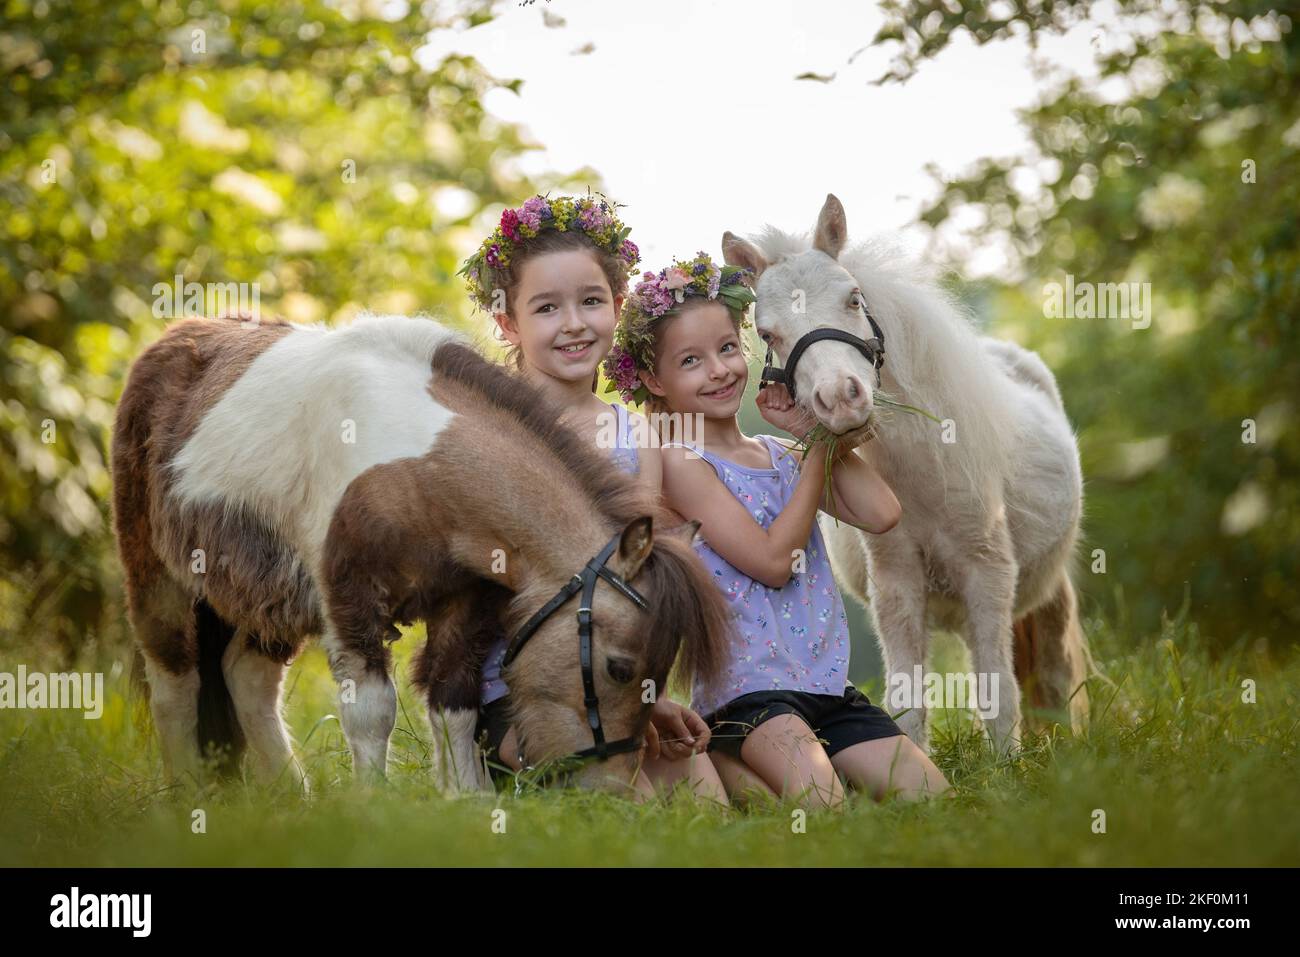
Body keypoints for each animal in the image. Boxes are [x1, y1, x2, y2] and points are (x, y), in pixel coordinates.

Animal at [111, 313, 730, 793]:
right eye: (619, 668)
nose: (610, 792)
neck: (412, 463)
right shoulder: (349, 600)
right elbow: (370, 713)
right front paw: (374, 809)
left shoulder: (466, 601)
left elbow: (453, 701)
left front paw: (468, 802)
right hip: (158, 579)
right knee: (176, 685)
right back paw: (189, 797)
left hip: (266, 597)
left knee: (247, 680)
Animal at [722, 194, 1092, 753]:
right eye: (768, 333)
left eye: (854, 298)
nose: (841, 399)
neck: (925, 478)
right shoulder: (896, 584)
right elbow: (908, 700)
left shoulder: (989, 575)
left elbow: (999, 693)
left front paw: (1008, 766)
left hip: (1047, 591)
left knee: (1053, 672)